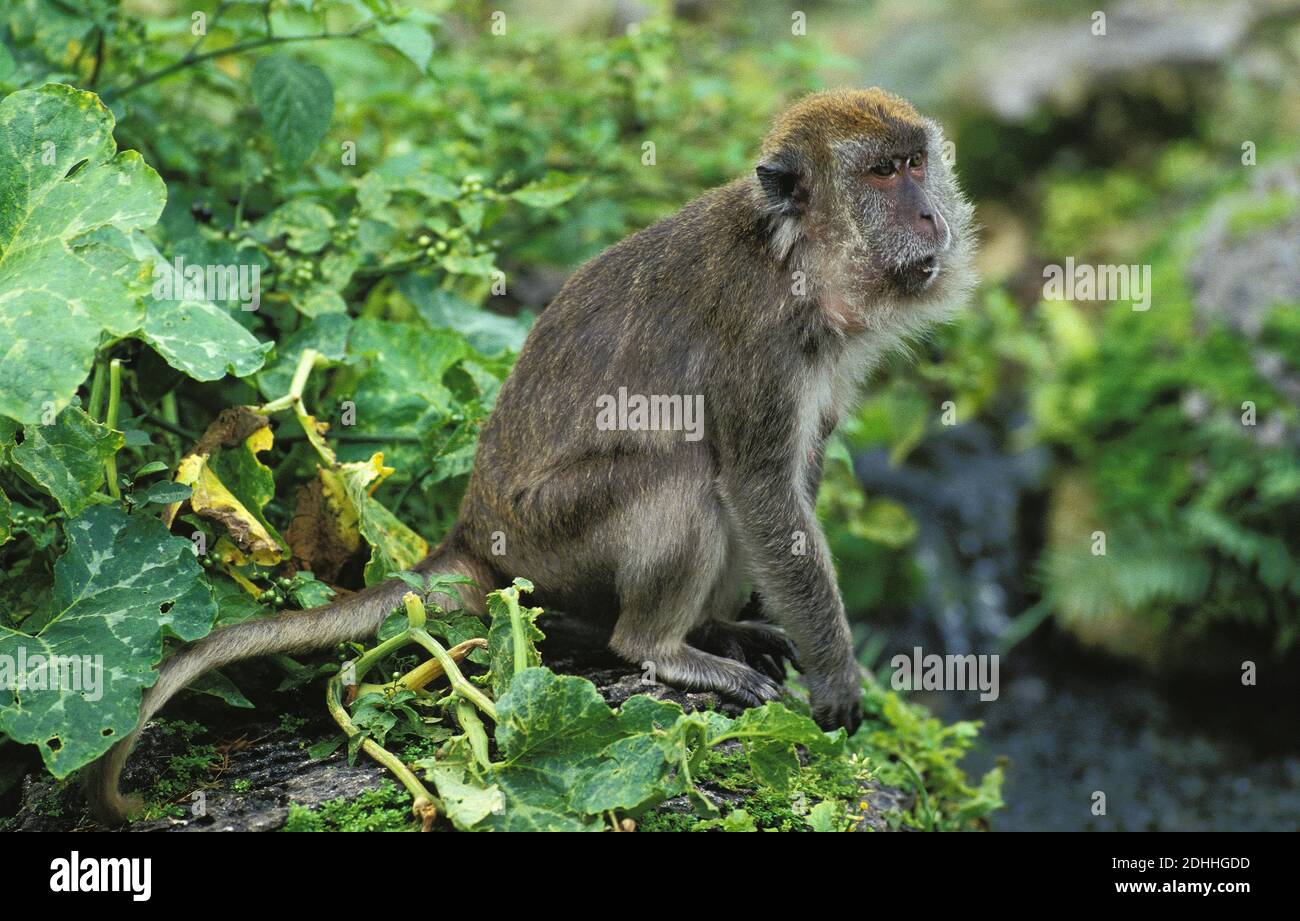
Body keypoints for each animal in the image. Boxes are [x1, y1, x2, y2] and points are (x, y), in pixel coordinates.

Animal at [85, 88, 975, 823]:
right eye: (882, 174)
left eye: (916, 163)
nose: (932, 219)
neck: (792, 252)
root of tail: (472, 533)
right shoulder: (757, 338)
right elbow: (760, 489)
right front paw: (837, 675)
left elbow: (796, 476)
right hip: (553, 536)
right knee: (684, 477)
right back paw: (658, 647)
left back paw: (710, 626)